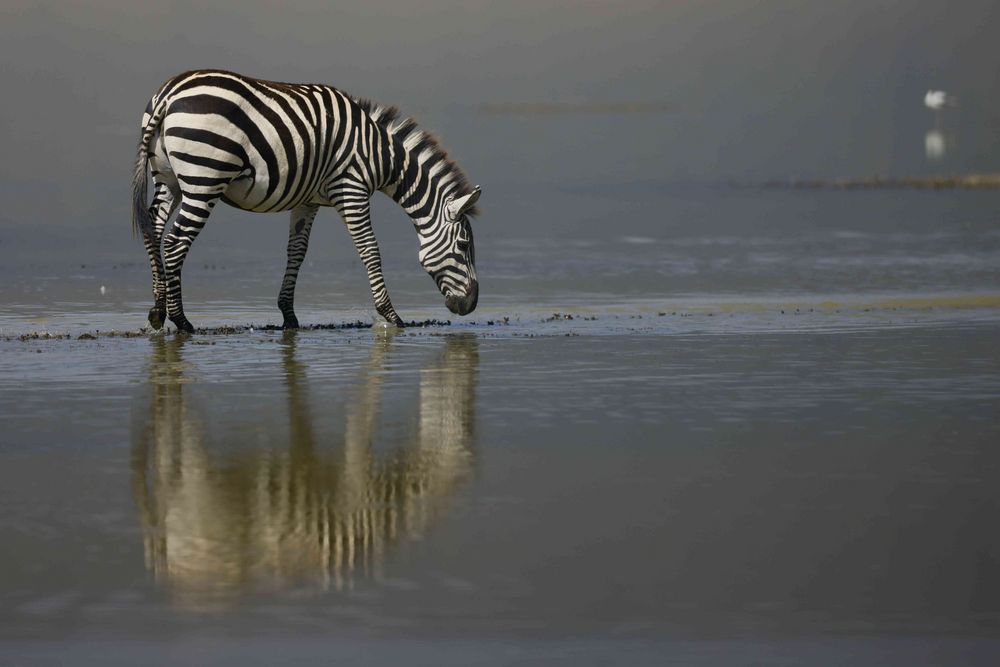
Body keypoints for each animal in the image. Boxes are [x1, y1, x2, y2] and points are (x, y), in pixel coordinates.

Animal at [131, 70, 481, 332]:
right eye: (464, 245)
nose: (470, 305)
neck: (380, 156)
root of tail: (169, 94)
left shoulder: (307, 201)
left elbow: (297, 252)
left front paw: (288, 315)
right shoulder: (351, 188)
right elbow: (369, 250)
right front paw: (391, 316)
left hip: (168, 179)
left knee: (154, 231)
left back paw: (158, 312)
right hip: (204, 180)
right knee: (175, 242)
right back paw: (182, 321)